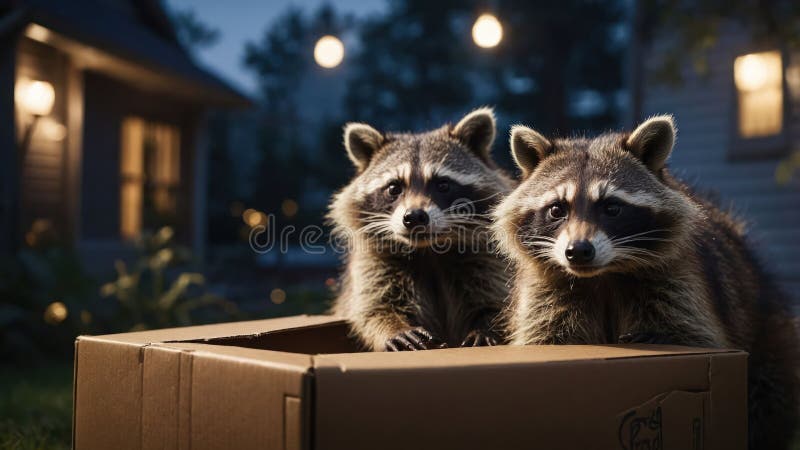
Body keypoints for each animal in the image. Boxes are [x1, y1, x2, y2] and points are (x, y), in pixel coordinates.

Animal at [328, 108, 514, 351]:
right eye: (394, 187)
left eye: (442, 184)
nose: (414, 217)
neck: (429, 249)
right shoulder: (374, 262)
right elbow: (373, 308)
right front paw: (394, 327)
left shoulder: (487, 259)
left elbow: (499, 301)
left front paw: (487, 326)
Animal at [492, 115, 799, 450]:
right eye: (557, 209)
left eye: (612, 207)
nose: (578, 251)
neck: (603, 276)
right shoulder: (547, 294)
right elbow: (545, 335)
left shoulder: (680, 281)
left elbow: (695, 335)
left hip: (768, 337)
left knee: (767, 395)